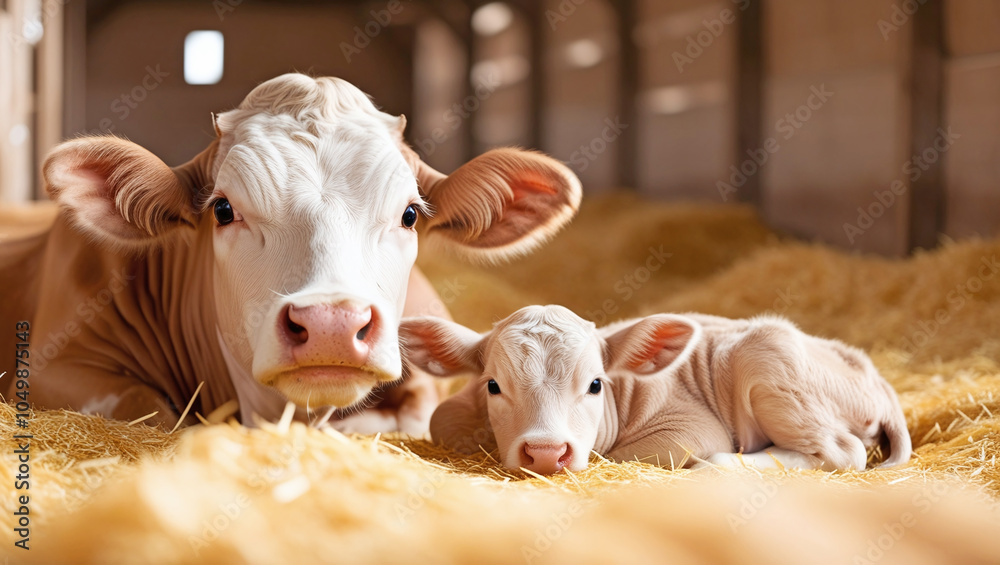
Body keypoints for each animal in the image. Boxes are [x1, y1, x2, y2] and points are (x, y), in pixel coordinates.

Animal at [400, 305, 912, 474]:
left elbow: (636, 453)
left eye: (595, 384)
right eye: (493, 385)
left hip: (771, 359)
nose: (546, 452)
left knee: (842, 452)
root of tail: (869, 370)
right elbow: (440, 419)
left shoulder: (691, 426)